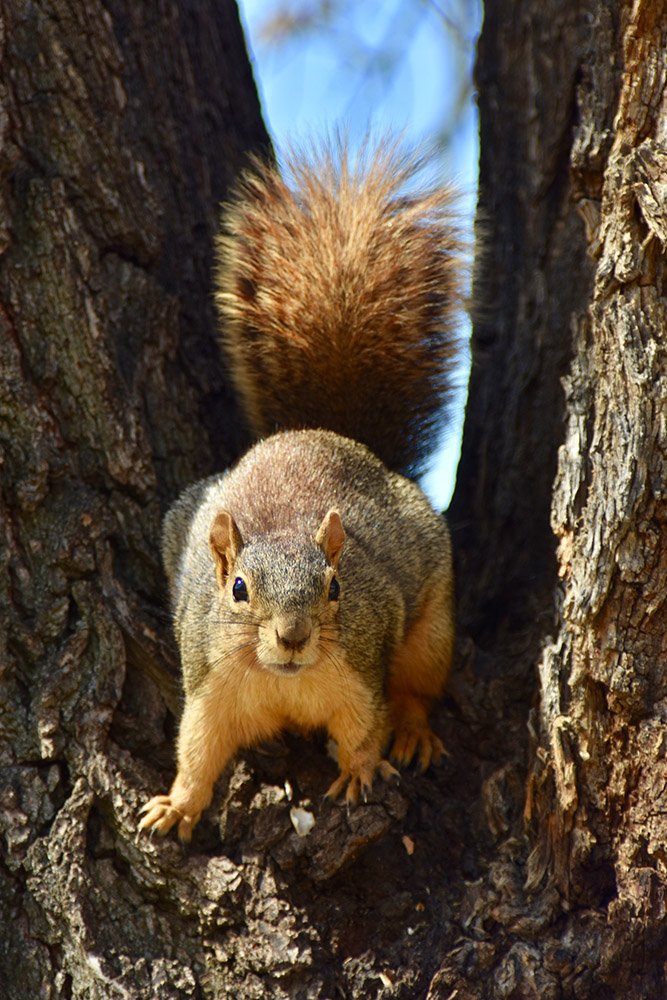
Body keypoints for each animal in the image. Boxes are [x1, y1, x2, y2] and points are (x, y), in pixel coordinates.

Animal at [139, 137, 463, 842]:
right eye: (237, 589)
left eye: (335, 587)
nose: (293, 636)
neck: (281, 679)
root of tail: (322, 431)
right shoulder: (209, 688)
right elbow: (197, 752)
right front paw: (177, 804)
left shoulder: (361, 672)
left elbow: (367, 727)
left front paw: (362, 772)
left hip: (431, 629)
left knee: (417, 688)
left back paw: (416, 733)